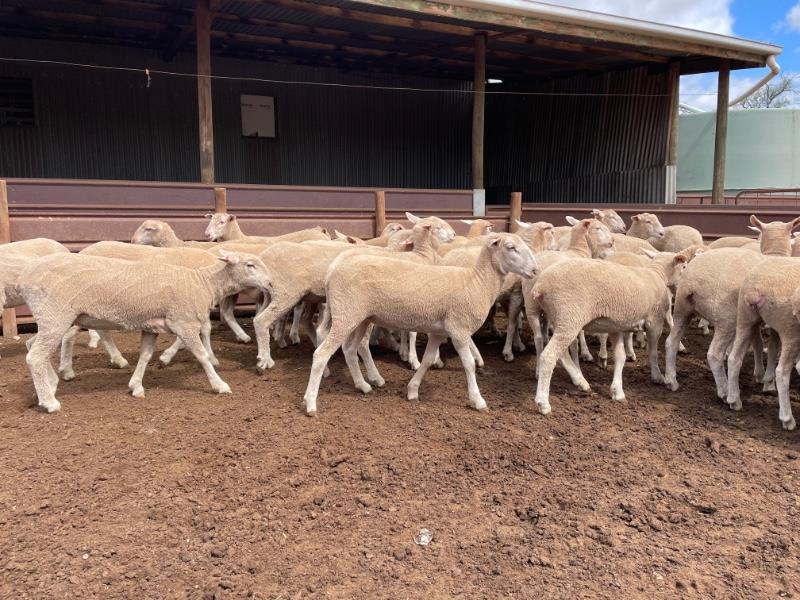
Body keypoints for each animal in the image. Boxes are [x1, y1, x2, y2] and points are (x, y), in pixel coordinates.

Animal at [18, 250, 271, 412]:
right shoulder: (185, 323)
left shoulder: (152, 326)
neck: (203, 283)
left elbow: (145, 356)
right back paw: (50, 402)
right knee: (35, 355)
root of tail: (25, 277)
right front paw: (219, 385)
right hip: (55, 314)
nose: (270, 283)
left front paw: (136, 386)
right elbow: (202, 356)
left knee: (32, 346)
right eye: (250, 265)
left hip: (51, 317)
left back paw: (50, 386)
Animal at [302, 233, 537, 416]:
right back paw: (311, 403)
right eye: (511, 248)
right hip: (346, 314)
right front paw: (477, 400)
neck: (477, 282)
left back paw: (363, 385)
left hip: (360, 318)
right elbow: (468, 364)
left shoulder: (439, 332)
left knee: (350, 350)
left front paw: (412, 390)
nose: (535, 271)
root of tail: (332, 271)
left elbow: (427, 360)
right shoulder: (459, 329)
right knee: (321, 354)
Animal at [530, 251, 687, 415]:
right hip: (569, 316)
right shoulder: (655, 322)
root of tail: (540, 286)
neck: (658, 274)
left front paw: (617, 391)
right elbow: (653, 352)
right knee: (549, 356)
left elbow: (620, 357)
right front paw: (657, 376)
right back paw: (543, 402)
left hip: (560, 318)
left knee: (562, 354)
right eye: (684, 266)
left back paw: (581, 382)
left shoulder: (615, 327)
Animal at [664, 215, 800, 398]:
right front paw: (768, 382)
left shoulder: (753, 320)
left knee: (671, 342)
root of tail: (693, 282)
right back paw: (725, 391)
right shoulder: (776, 323)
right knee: (714, 354)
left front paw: (759, 375)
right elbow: (772, 348)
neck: (775, 255)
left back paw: (671, 380)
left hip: (682, 309)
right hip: (726, 318)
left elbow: (758, 343)